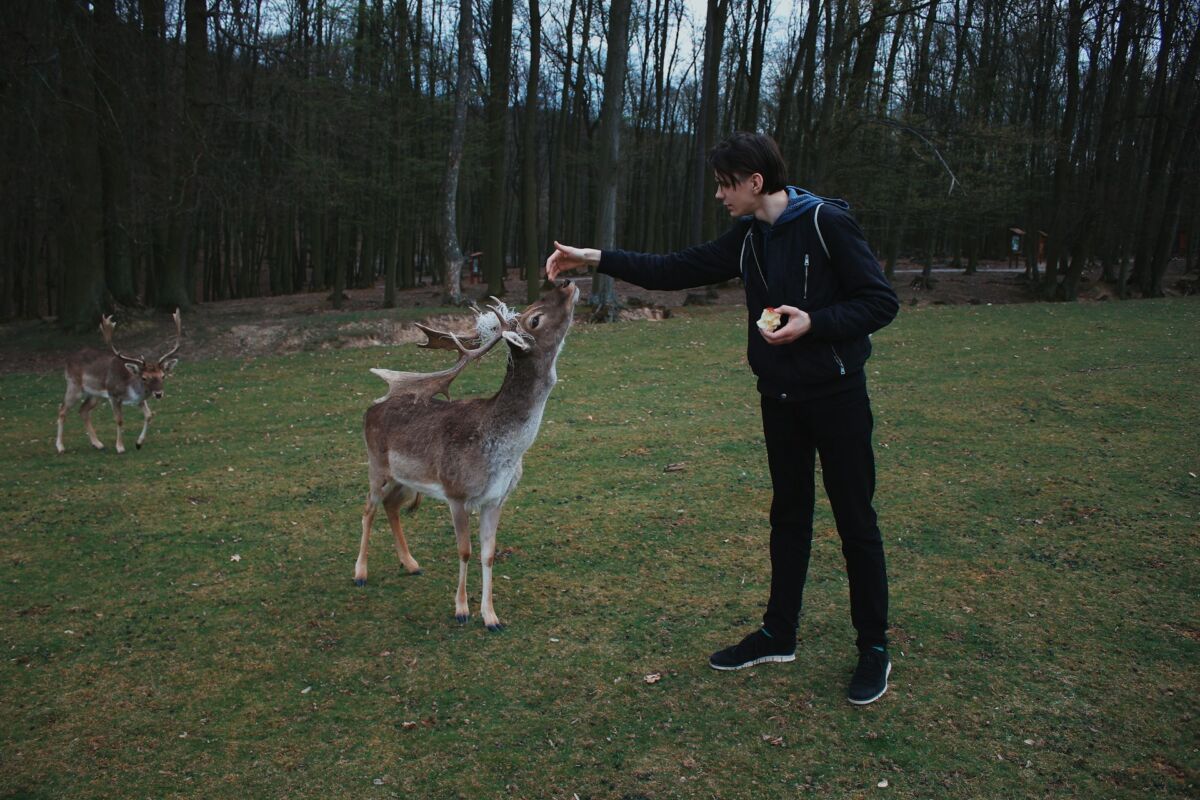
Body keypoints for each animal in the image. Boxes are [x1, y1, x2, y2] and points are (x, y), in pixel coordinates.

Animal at [55, 309, 182, 454]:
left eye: (163, 376)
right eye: (144, 377)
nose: (159, 393)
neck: (129, 388)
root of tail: (67, 360)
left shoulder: (138, 399)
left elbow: (149, 415)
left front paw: (138, 443)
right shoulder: (113, 395)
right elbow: (119, 420)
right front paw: (120, 447)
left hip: (94, 395)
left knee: (83, 410)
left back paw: (98, 444)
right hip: (73, 385)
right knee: (62, 410)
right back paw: (60, 446)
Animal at [356, 279, 579, 631]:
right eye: (535, 319)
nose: (567, 284)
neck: (501, 452)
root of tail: (371, 409)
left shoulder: (496, 499)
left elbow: (488, 553)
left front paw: (491, 616)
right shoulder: (456, 493)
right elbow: (464, 551)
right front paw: (461, 609)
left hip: (406, 478)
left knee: (391, 506)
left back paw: (411, 563)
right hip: (376, 466)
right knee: (368, 509)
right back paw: (361, 573)